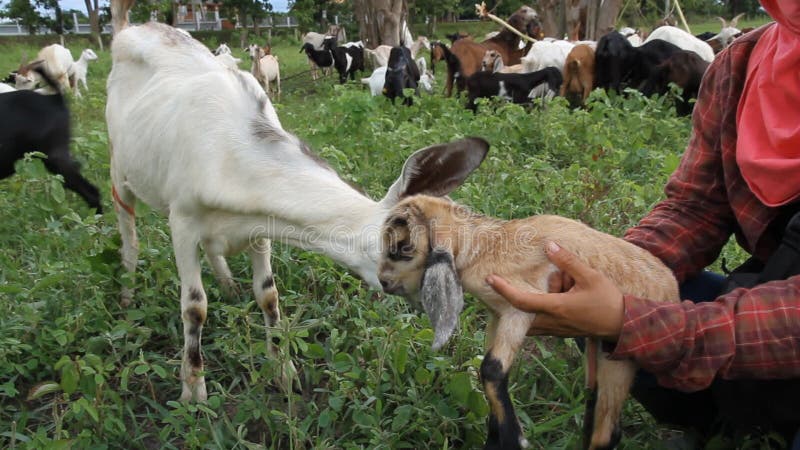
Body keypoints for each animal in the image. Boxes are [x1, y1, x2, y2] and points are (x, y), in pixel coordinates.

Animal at [107, 0, 489, 402]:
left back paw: (227, 284)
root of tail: (132, 29)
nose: (451, 314)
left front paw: (282, 369)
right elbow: (194, 306)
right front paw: (193, 390)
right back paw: (127, 292)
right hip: (119, 165)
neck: (228, 156)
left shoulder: (259, 225)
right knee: (127, 226)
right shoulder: (182, 222)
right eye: (406, 249)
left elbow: (268, 294)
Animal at [377, 193, 678, 450]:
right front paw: (494, 439)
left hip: (622, 354)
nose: (383, 282)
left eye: (403, 248)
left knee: (606, 434)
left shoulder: (521, 306)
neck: (484, 247)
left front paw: (514, 439)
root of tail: (673, 292)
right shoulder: (496, 316)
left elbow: (491, 369)